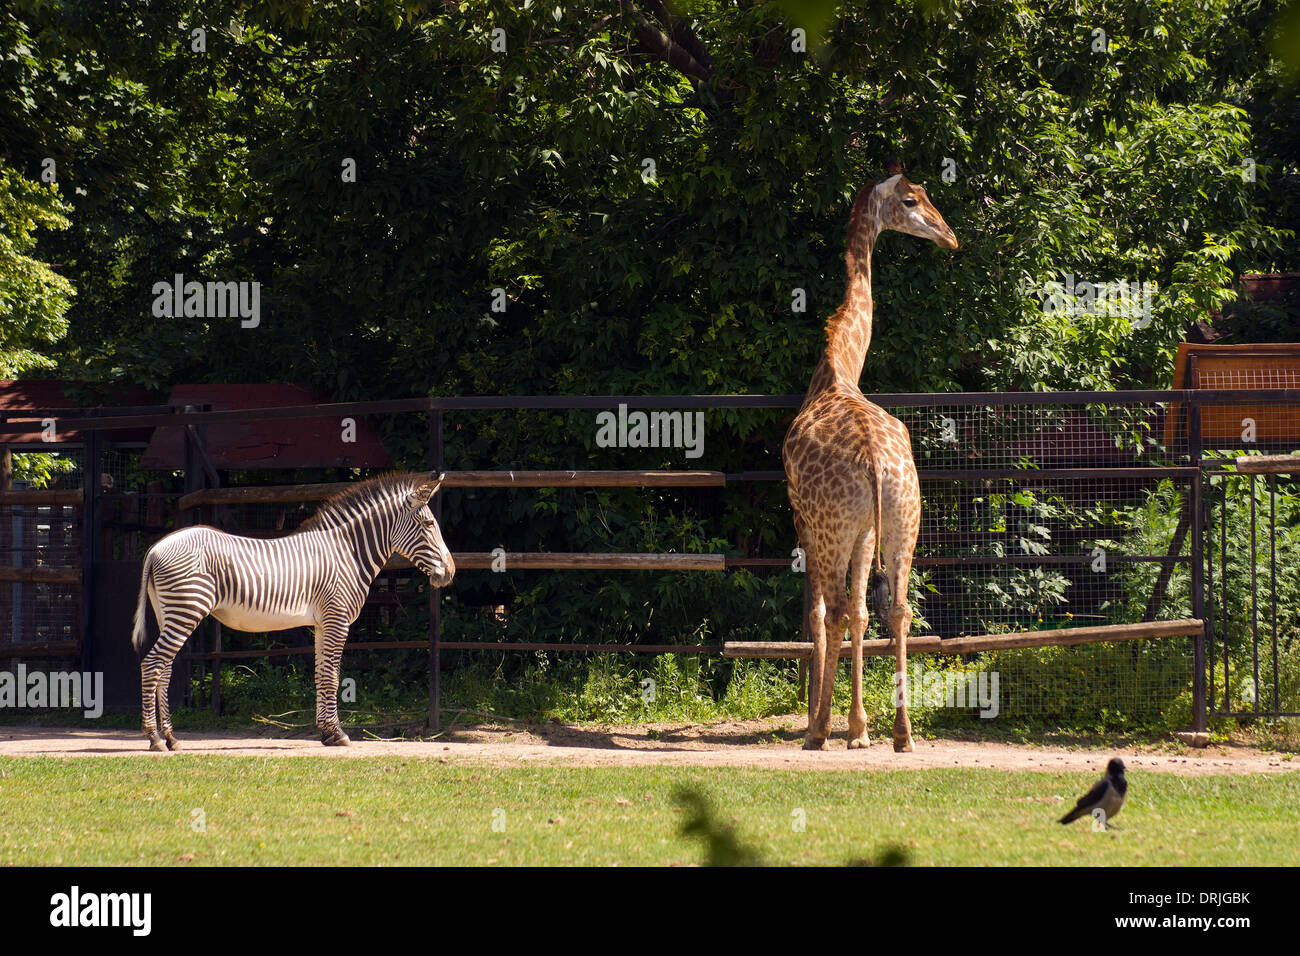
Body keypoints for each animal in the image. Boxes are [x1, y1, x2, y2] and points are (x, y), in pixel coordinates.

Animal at [132, 472, 455, 751]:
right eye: (429, 525)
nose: (450, 573)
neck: (346, 553)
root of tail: (156, 548)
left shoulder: (323, 623)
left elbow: (321, 673)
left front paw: (326, 732)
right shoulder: (337, 618)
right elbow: (333, 675)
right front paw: (338, 733)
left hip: (170, 612)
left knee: (164, 668)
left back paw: (171, 737)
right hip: (186, 608)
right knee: (152, 664)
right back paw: (155, 738)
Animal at [783, 163, 957, 751]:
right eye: (912, 201)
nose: (949, 236)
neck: (838, 369)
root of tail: (876, 464)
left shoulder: (804, 518)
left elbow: (821, 612)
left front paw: (830, 724)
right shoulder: (865, 530)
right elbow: (864, 611)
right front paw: (859, 727)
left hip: (836, 526)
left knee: (836, 609)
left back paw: (819, 730)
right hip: (906, 517)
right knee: (900, 610)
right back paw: (903, 733)